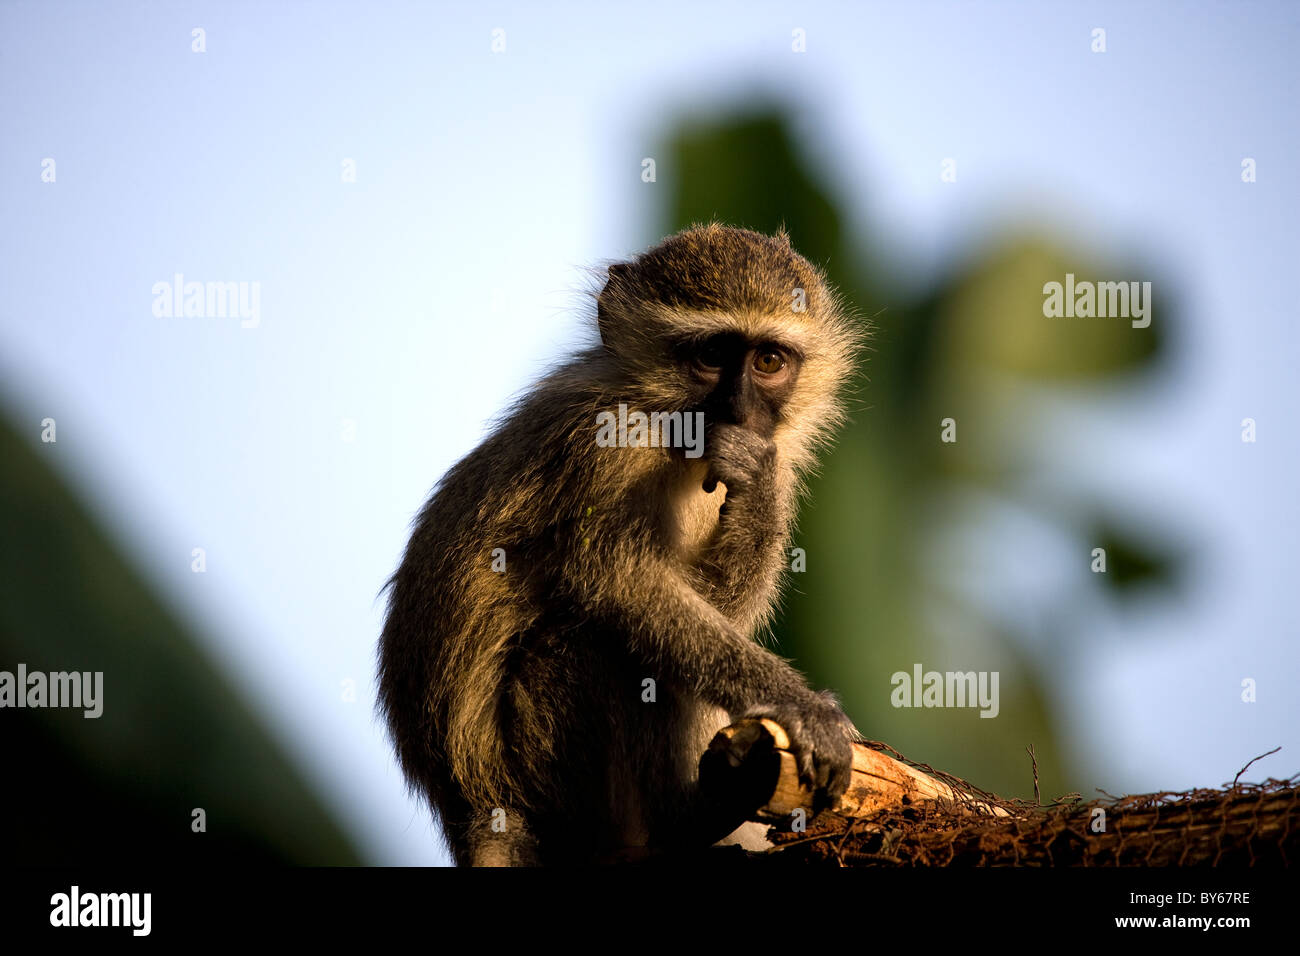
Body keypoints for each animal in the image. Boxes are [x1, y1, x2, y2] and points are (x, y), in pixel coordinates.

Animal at [378, 223, 864, 866]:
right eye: (711, 356)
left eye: (768, 360)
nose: (739, 411)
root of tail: (476, 809)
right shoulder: (606, 443)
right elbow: (620, 584)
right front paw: (800, 706)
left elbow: (718, 604)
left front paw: (757, 489)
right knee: (600, 644)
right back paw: (687, 821)